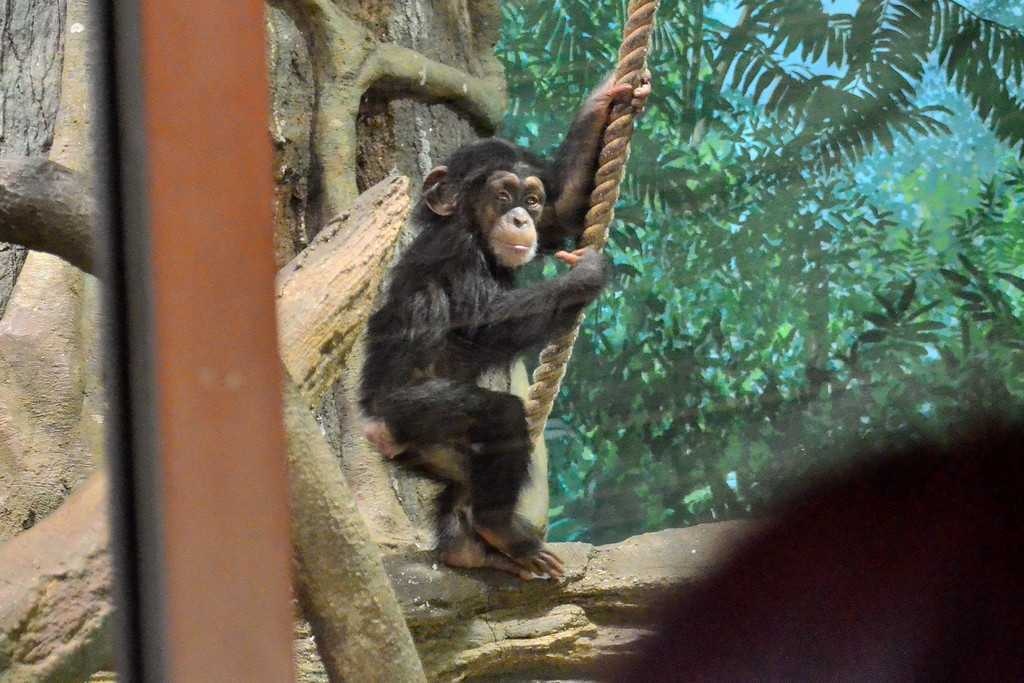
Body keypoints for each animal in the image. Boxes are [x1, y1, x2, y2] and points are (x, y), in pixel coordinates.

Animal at [360, 74, 651, 580]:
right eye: (502, 196)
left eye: (531, 199)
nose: (519, 217)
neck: (476, 235)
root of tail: (381, 433)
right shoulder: (456, 250)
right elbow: (479, 326)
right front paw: (584, 276)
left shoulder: (543, 221)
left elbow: (562, 214)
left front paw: (606, 98)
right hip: (407, 411)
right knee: (501, 417)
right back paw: (496, 527)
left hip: (435, 452)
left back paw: (468, 546)